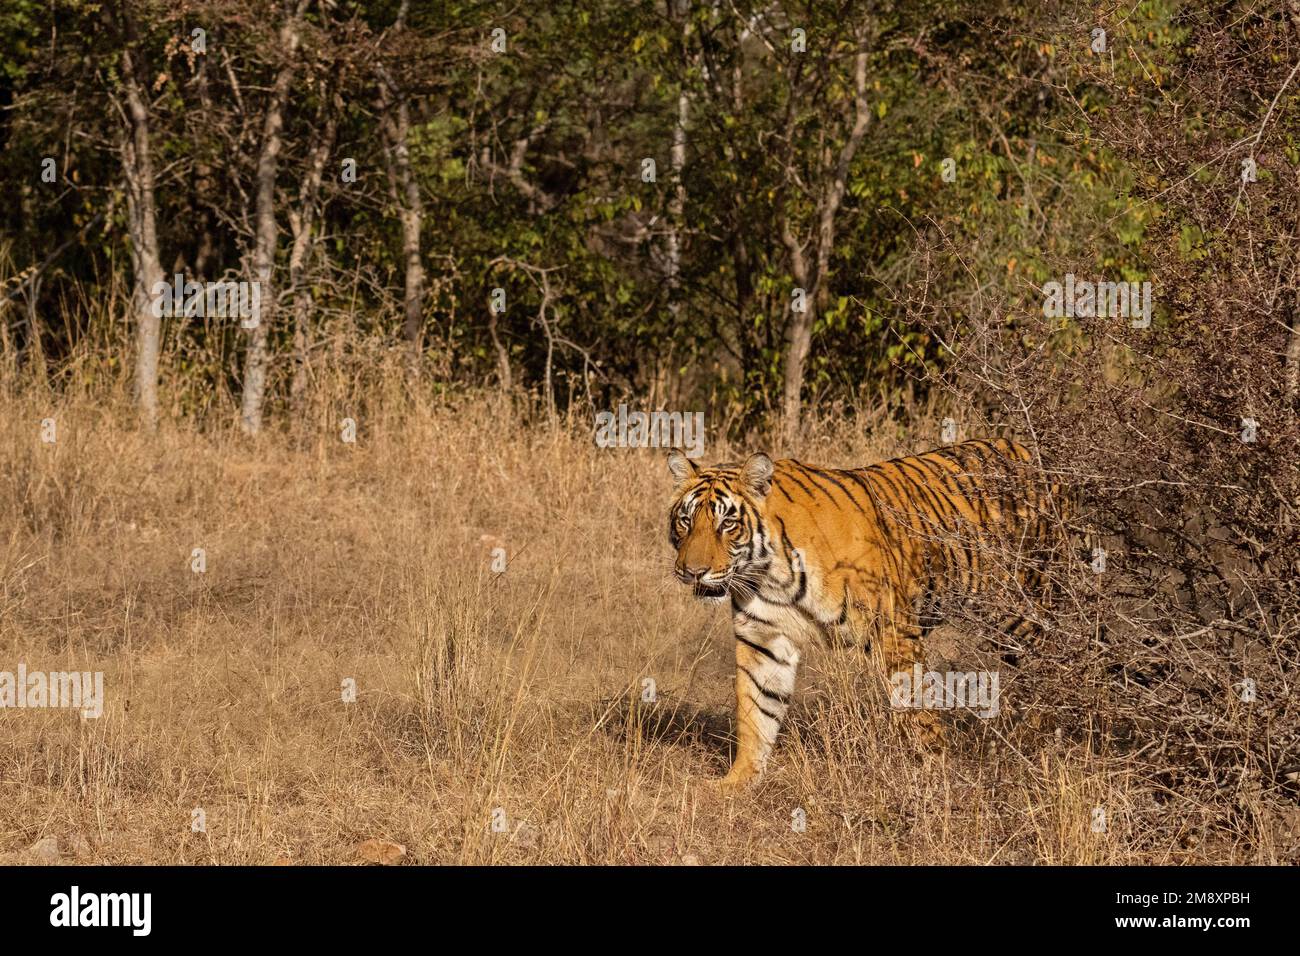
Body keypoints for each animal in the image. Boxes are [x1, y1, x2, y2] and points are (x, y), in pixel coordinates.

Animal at [666, 437, 1062, 789]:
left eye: (727, 524)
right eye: (685, 521)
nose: (693, 572)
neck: (770, 573)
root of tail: (1033, 452)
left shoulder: (895, 631)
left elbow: (916, 710)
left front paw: (935, 775)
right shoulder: (762, 637)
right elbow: (756, 711)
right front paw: (737, 782)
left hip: (1020, 604)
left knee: (1051, 658)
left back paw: (1041, 737)